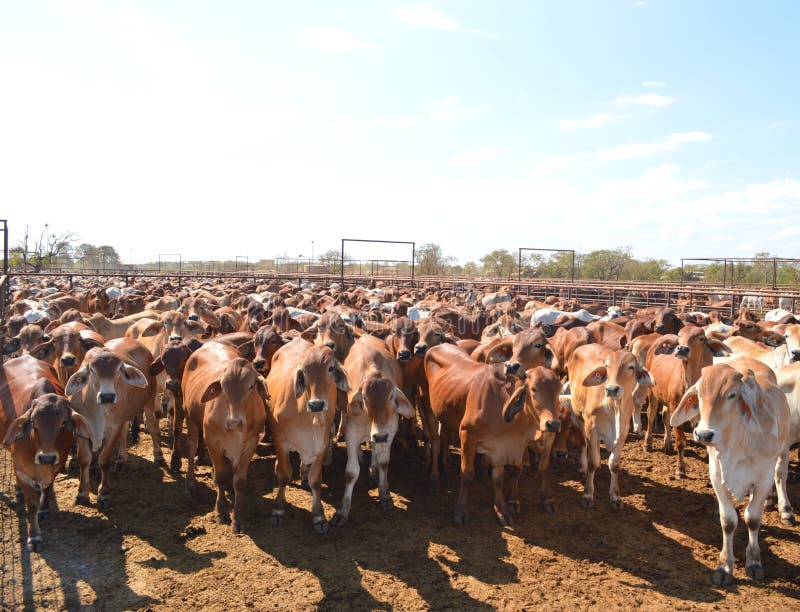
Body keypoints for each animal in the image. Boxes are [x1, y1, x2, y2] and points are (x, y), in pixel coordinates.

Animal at [181, 342, 268, 533]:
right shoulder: (212, 441)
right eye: (223, 387)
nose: (234, 422)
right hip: (189, 416)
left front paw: (238, 519)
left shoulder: (251, 443)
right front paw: (220, 511)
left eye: (251, 386)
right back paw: (190, 484)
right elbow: (222, 476)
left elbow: (239, 481)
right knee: (191, 448)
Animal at [266, 338, 350, 532]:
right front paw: (278, 509)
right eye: (303, 371)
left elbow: (315, 480)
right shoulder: (280, 439)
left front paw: (318, 516)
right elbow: (284, 474)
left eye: (331, 368)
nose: (317, 404)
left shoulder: (322, 442)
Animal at [332, 334, 414, 526]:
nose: (380, 435)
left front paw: (385, 495)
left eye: (391, 397)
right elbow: (351, 472)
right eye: (365, 399)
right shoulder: (353, 433)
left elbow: (384, 462)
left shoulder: (390, 430)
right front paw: (342, 510)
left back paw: (373, 470)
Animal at [671, 358, 792, 585]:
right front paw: (725, 566)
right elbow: (728, 521)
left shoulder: (763, 479)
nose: (704, 434)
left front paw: (754, 562)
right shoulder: (717, 476)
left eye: (732, 395)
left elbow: (753, 518)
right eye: (699, 394)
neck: (739, 443)